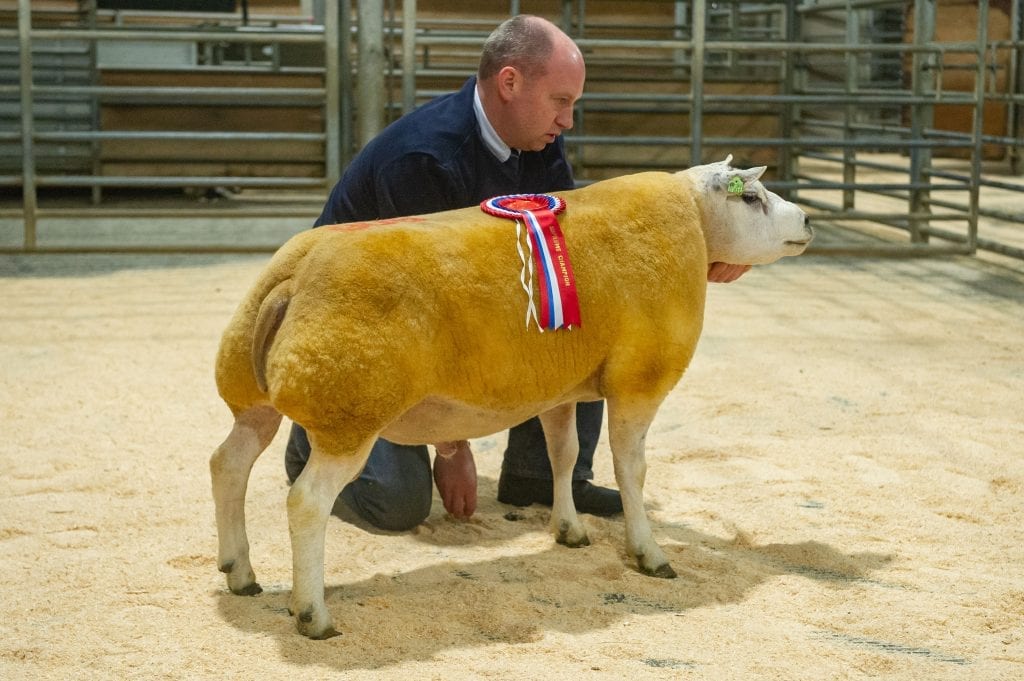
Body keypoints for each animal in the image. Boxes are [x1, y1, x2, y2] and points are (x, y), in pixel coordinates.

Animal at [209, 156, 813, 639]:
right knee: (307, 501)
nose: (808, 221)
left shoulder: (561, 389)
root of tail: (295, 276)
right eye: (752, 198)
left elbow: (563, 456)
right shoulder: (639, 379)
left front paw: (569, 530)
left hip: (253, 397)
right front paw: (649, 553)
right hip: (349, 410)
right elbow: (631, 469)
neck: (695, 220)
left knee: (228, 465)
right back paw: (313, 614)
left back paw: (240, 572)